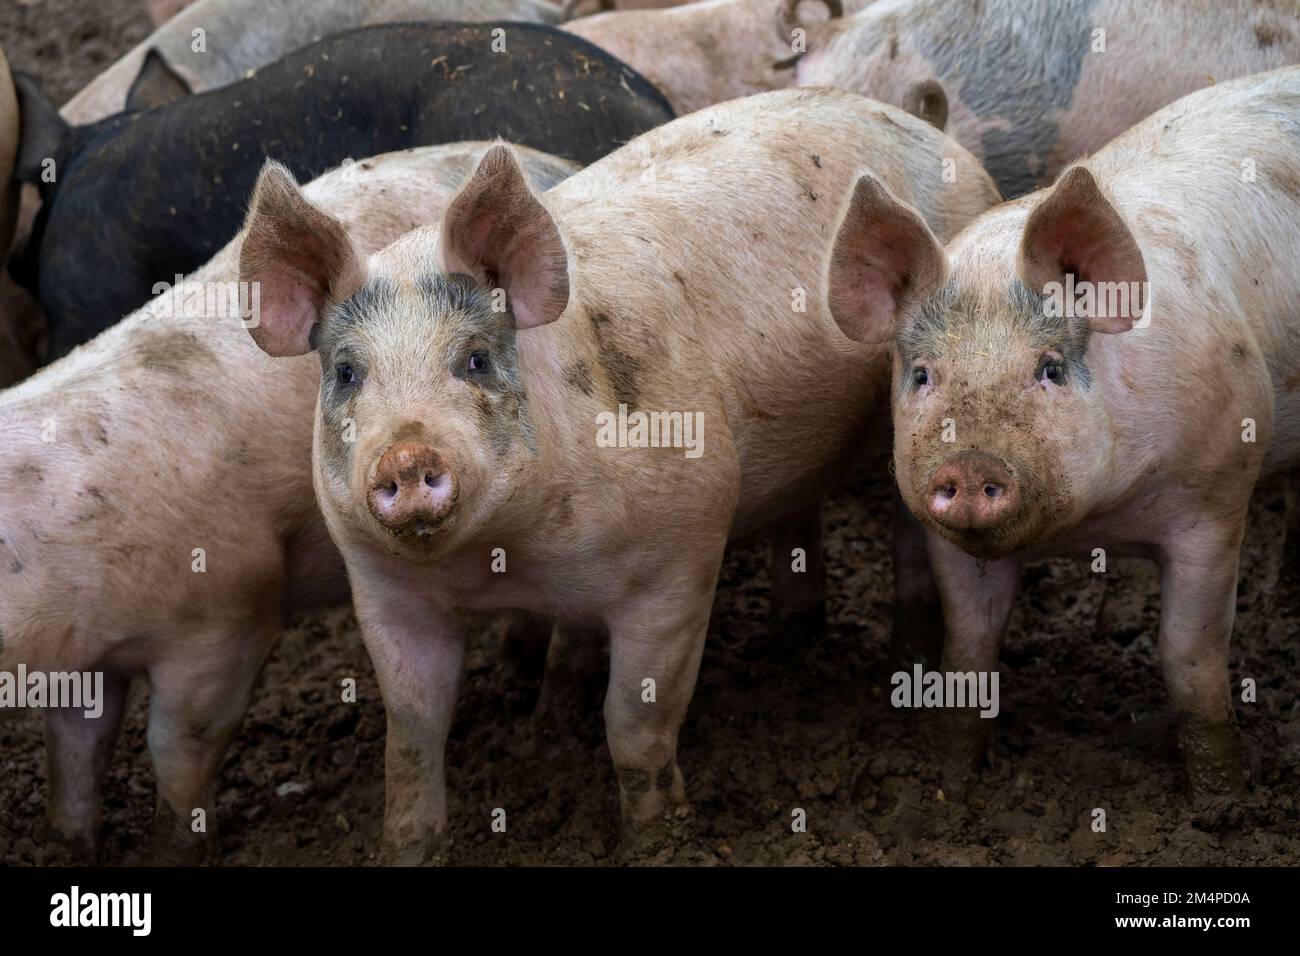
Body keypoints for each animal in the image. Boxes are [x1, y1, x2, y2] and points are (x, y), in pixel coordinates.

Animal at [0, 142, 580, 864]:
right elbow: (75, 752)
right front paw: (69, 845)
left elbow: (176, 746)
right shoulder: (84, 654)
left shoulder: (226, 614)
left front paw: (172, 851)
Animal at [239, 87, 1000, 863]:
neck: (500, 558)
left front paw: (656, 836)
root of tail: (917, 121)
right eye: (346, 372)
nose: (406, 456)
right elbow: (413, 738)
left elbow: (632, 724)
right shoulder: (383, 590)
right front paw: (410, 848)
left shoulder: (679, 556)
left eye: (475, 359)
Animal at [824, 65, 1300, 799]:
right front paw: (949, 781)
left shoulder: (1218, 496)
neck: (1092, 525)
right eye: (924, 374)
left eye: (1048, 368)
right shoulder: (954, 542)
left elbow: (1188, 658)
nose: (970, 464)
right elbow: (969, 652)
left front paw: (1219, 794)